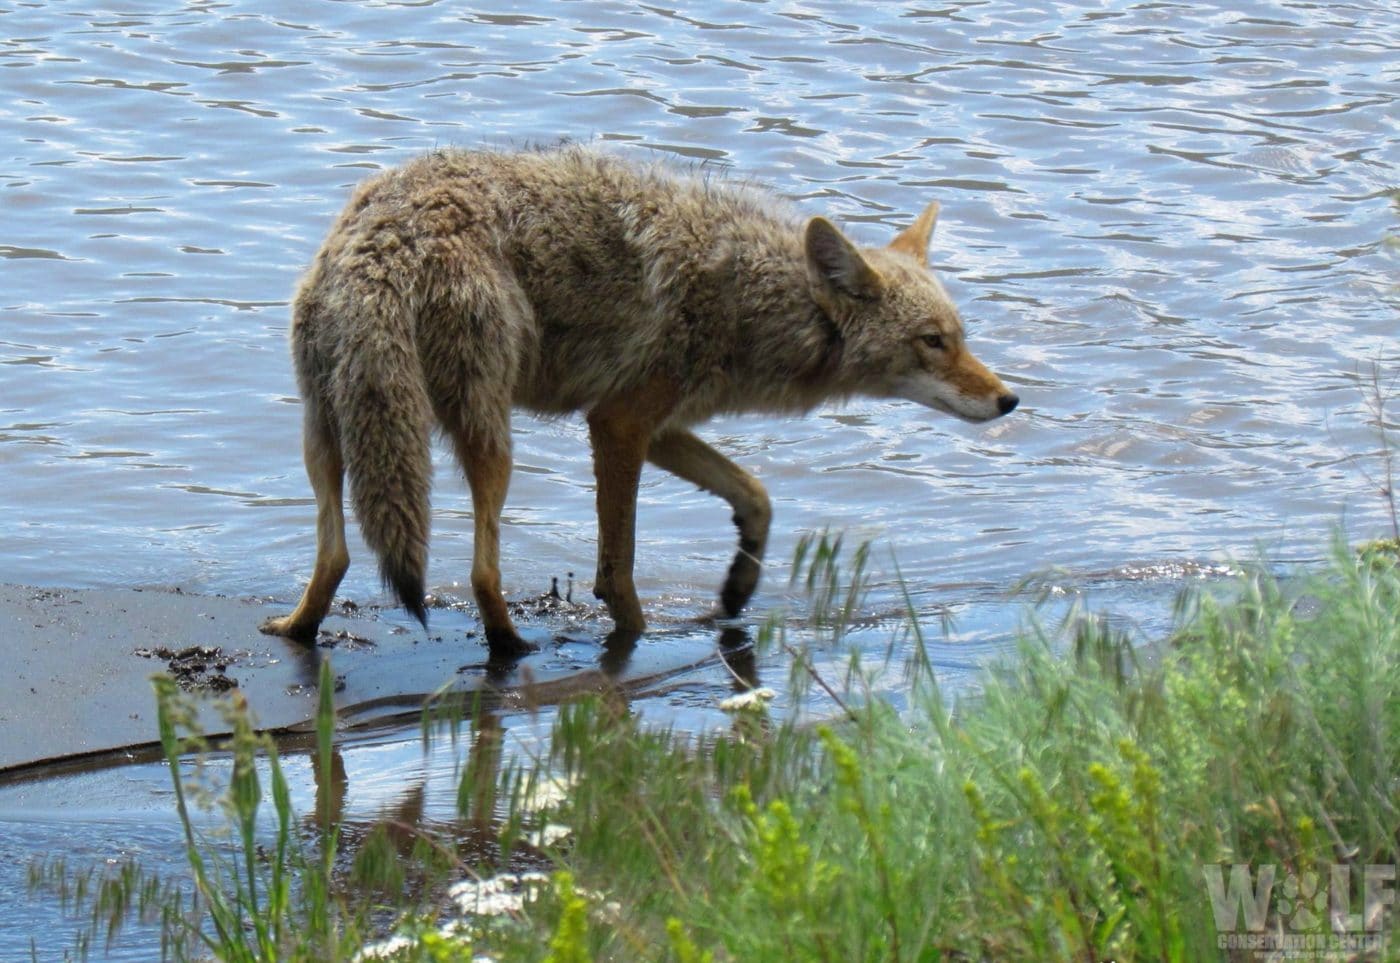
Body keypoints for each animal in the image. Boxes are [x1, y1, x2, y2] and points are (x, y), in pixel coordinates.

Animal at [260, 146, 1018, 656]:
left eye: (959, 337)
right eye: (933, 342)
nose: (1010, 399)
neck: (752, 296)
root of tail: (380, 234)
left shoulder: (660, 427)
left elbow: (757, 495)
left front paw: (738, 585)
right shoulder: (618, 423)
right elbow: (617, 568)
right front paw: (635, 633)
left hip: (326, 438)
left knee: (337, 558)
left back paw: (297, 629)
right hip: (492, 446)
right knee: (479, 572)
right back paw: (511, 647)